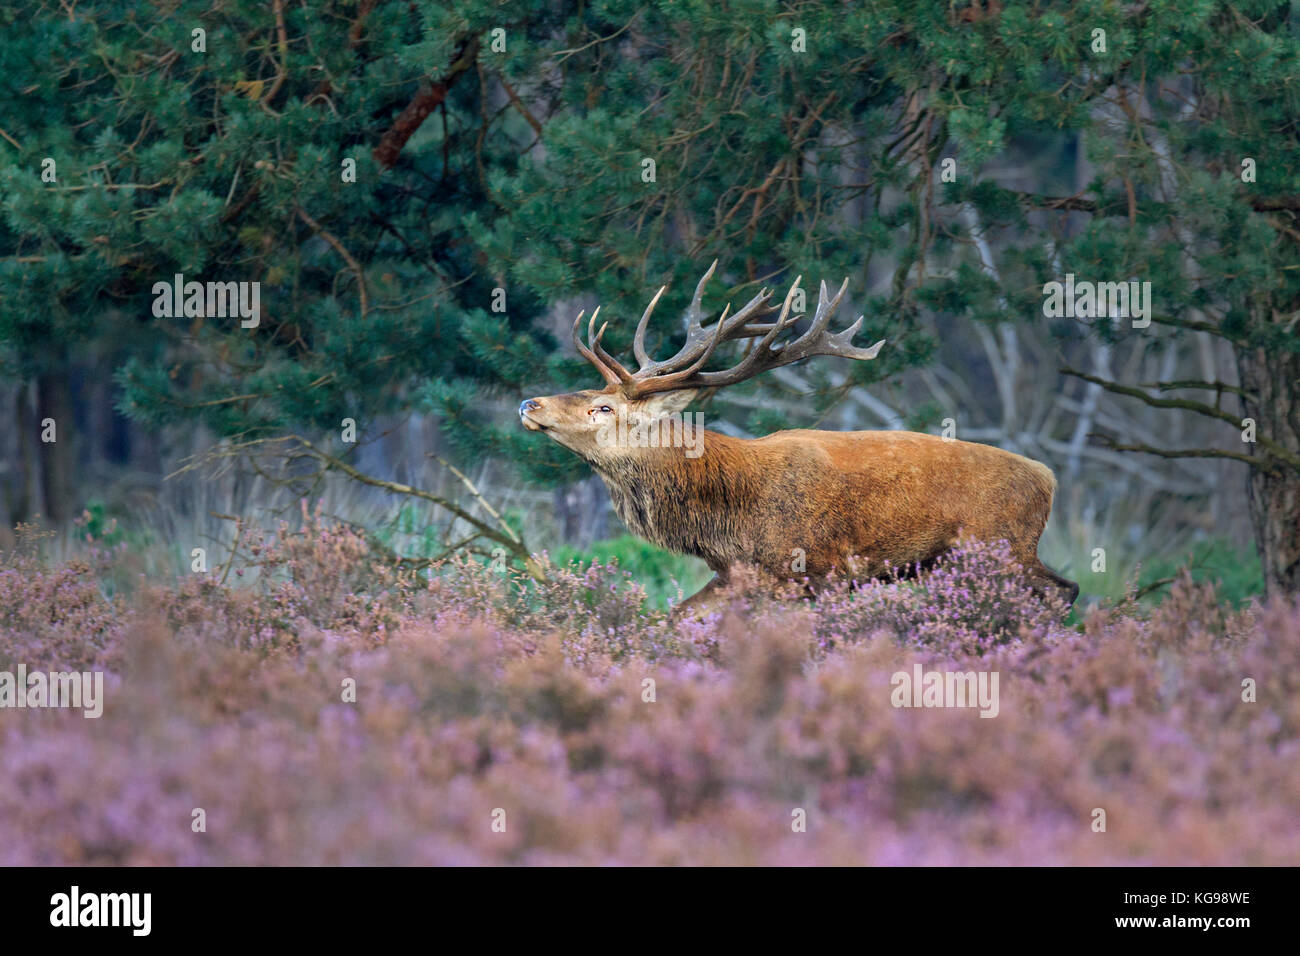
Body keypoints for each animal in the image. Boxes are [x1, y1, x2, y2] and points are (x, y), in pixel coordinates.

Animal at [519, 262, 1079, 617]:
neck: (728, 517)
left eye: (604, 407)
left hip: (1001, 546)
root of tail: (1049, 479)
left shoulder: (816, 569)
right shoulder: (737, 575)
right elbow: (672, 619)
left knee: (1064, 590)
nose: (529, 403)